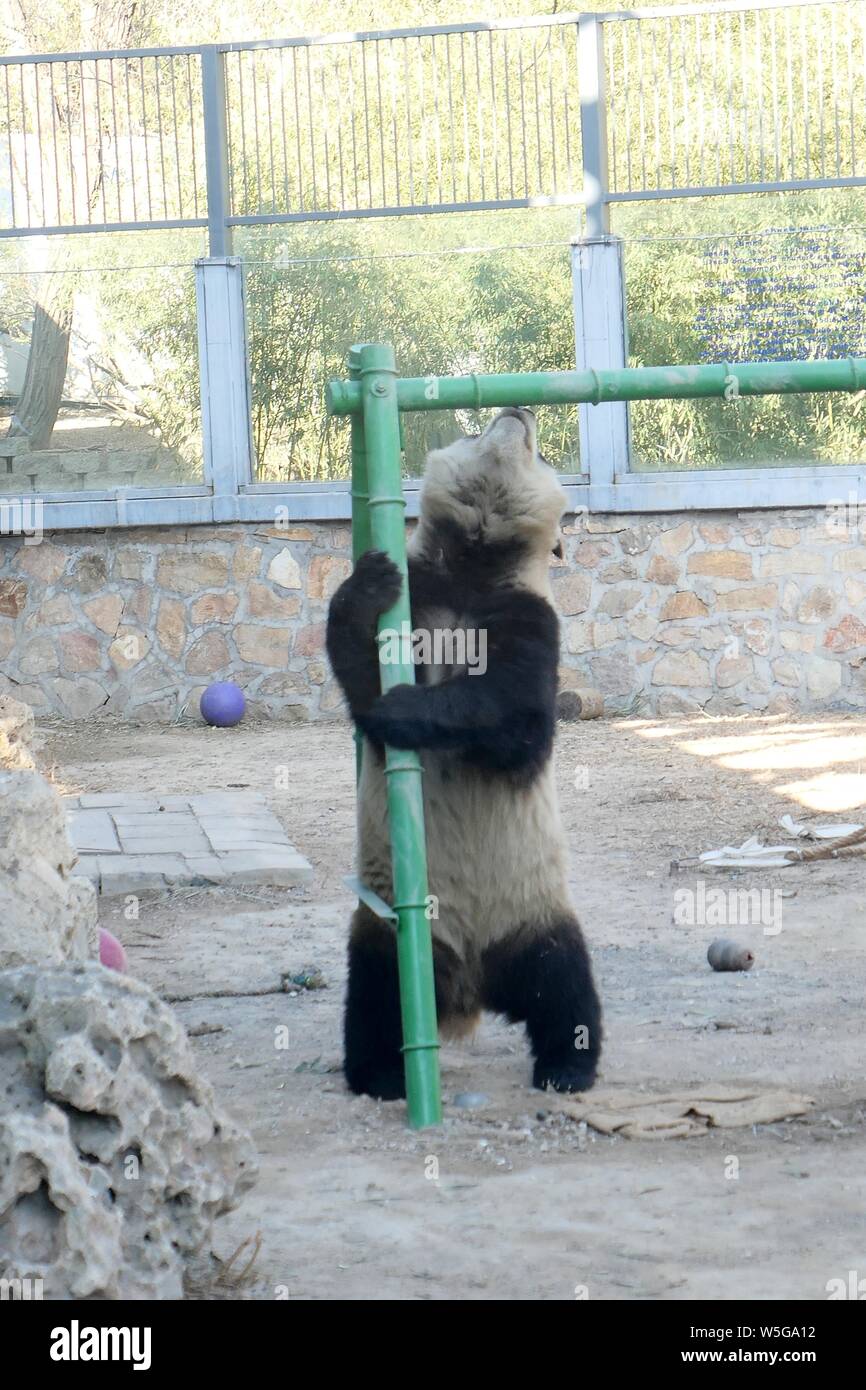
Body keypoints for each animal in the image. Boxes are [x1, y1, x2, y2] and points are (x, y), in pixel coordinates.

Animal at [326, 406, 601, 1100]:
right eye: (475, 431)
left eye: (539, 451)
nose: (517, 412)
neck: (473, 565)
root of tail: (472, 988)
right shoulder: (422, 592)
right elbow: (355, 663)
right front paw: (370, 581)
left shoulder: (533, 618)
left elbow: (515, 720)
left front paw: (406, 710)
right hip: (389, 932)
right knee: (373, 996)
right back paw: (381, 1075)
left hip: (535, 909)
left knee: (566, 985)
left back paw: (568, 1066)